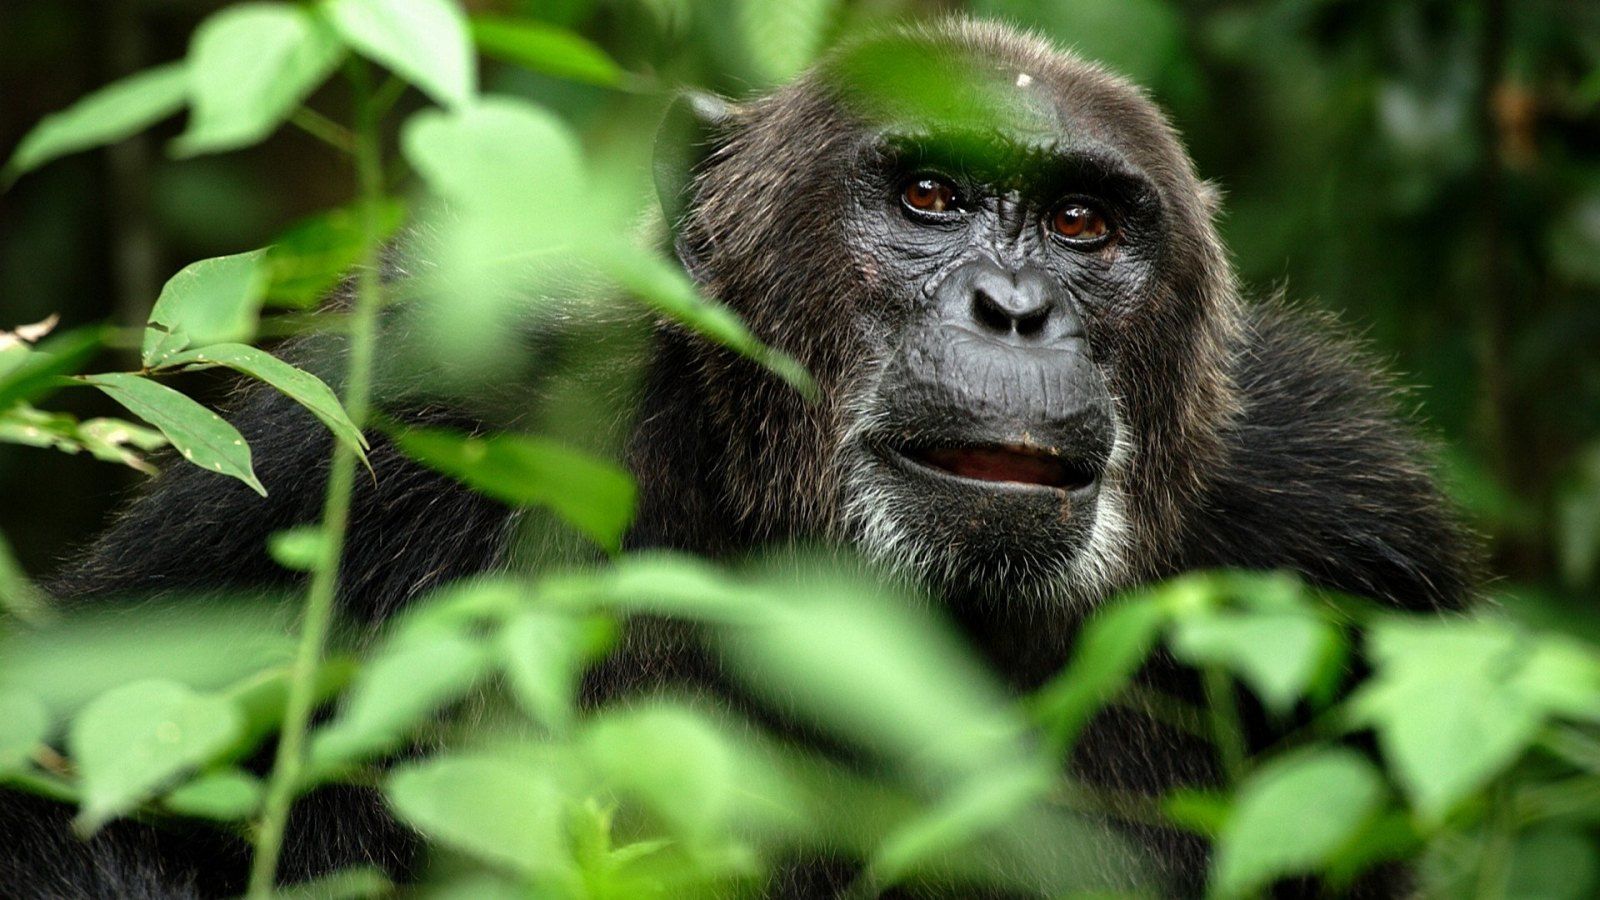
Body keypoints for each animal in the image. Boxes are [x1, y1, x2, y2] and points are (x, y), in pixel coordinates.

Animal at [1, 18, 1477, 899]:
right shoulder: (385, 436)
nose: (1012, 309)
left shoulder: (1338, 514)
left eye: (1081, 225)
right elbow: (82, 789)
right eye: (928, 196)